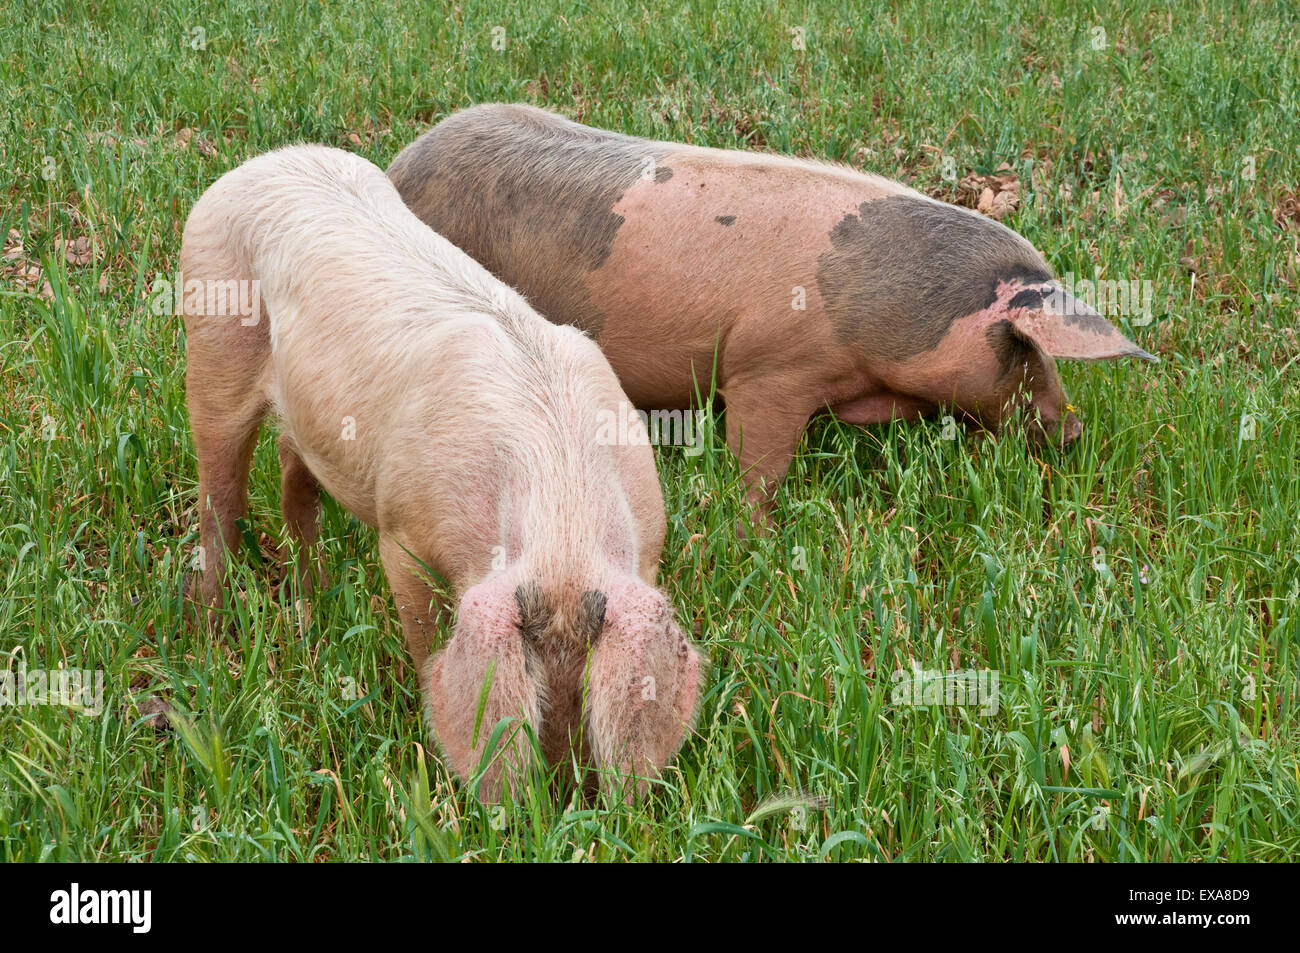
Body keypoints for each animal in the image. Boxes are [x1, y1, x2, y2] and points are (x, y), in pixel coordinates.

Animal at [180, 144, 701, 800]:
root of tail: (261, 163)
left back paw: (312, 595)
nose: (562, 787)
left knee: (293, 473)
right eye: (530, 661)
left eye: (586, 672)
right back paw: (210, 626)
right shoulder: (402, 532)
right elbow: (426, 635)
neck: (560, 515)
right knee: (218, 488)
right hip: (211, 337)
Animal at [388, 104, 1158, 513]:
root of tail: (400, 164)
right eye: (1027, 346)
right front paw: (755, 523)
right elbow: (759, 459)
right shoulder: (770, 368)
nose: (1073, 430)